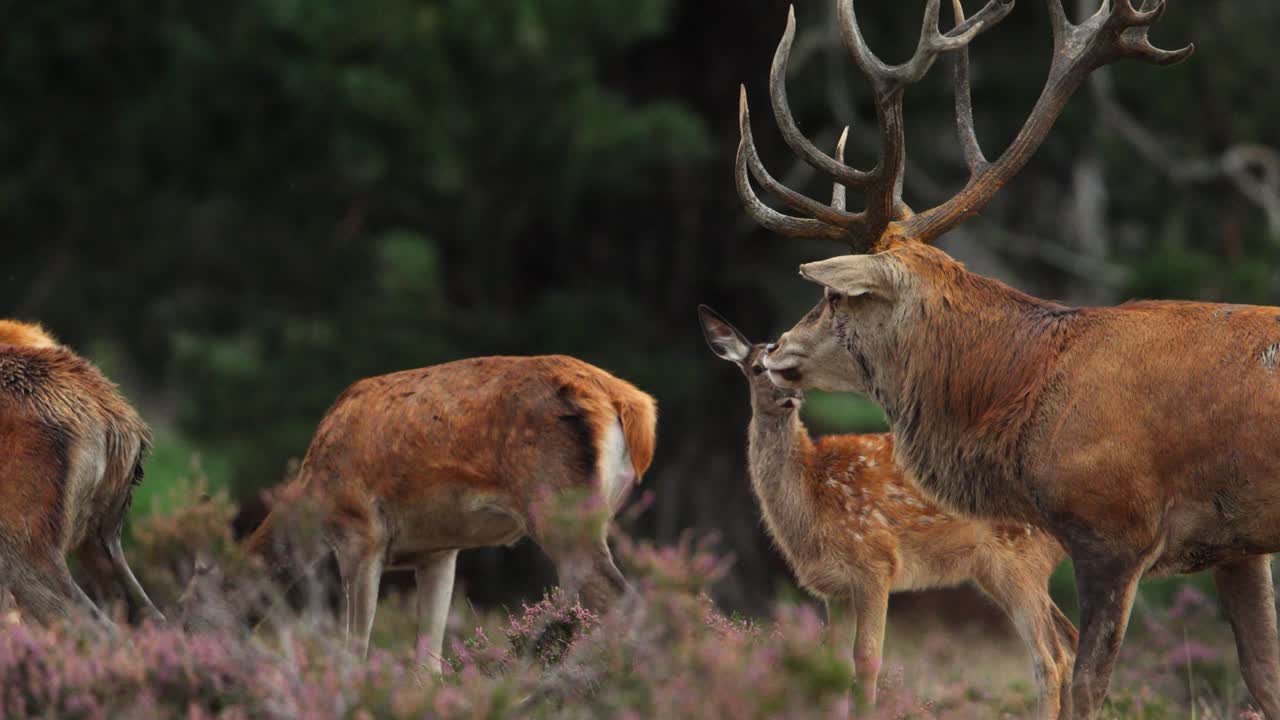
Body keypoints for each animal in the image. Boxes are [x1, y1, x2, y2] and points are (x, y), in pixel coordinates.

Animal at [183, 354, 655, 670]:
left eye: (187, 608)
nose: (187, 653)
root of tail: (628, 403)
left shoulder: (361, 535)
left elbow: (356, 648)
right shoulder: (438, 553)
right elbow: (427, 660)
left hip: (557, 504)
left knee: (617, 598)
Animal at [699, 305, 1076, 716]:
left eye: (785, 369)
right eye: (756, 368)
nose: (789, 397)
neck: (811, 499)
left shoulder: (875, 562)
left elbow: (867, 660)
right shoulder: (834, 588)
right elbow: (829, 661)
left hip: (1016, 561)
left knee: (1050, 657)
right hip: (1006, 570)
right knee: (1070, 641)